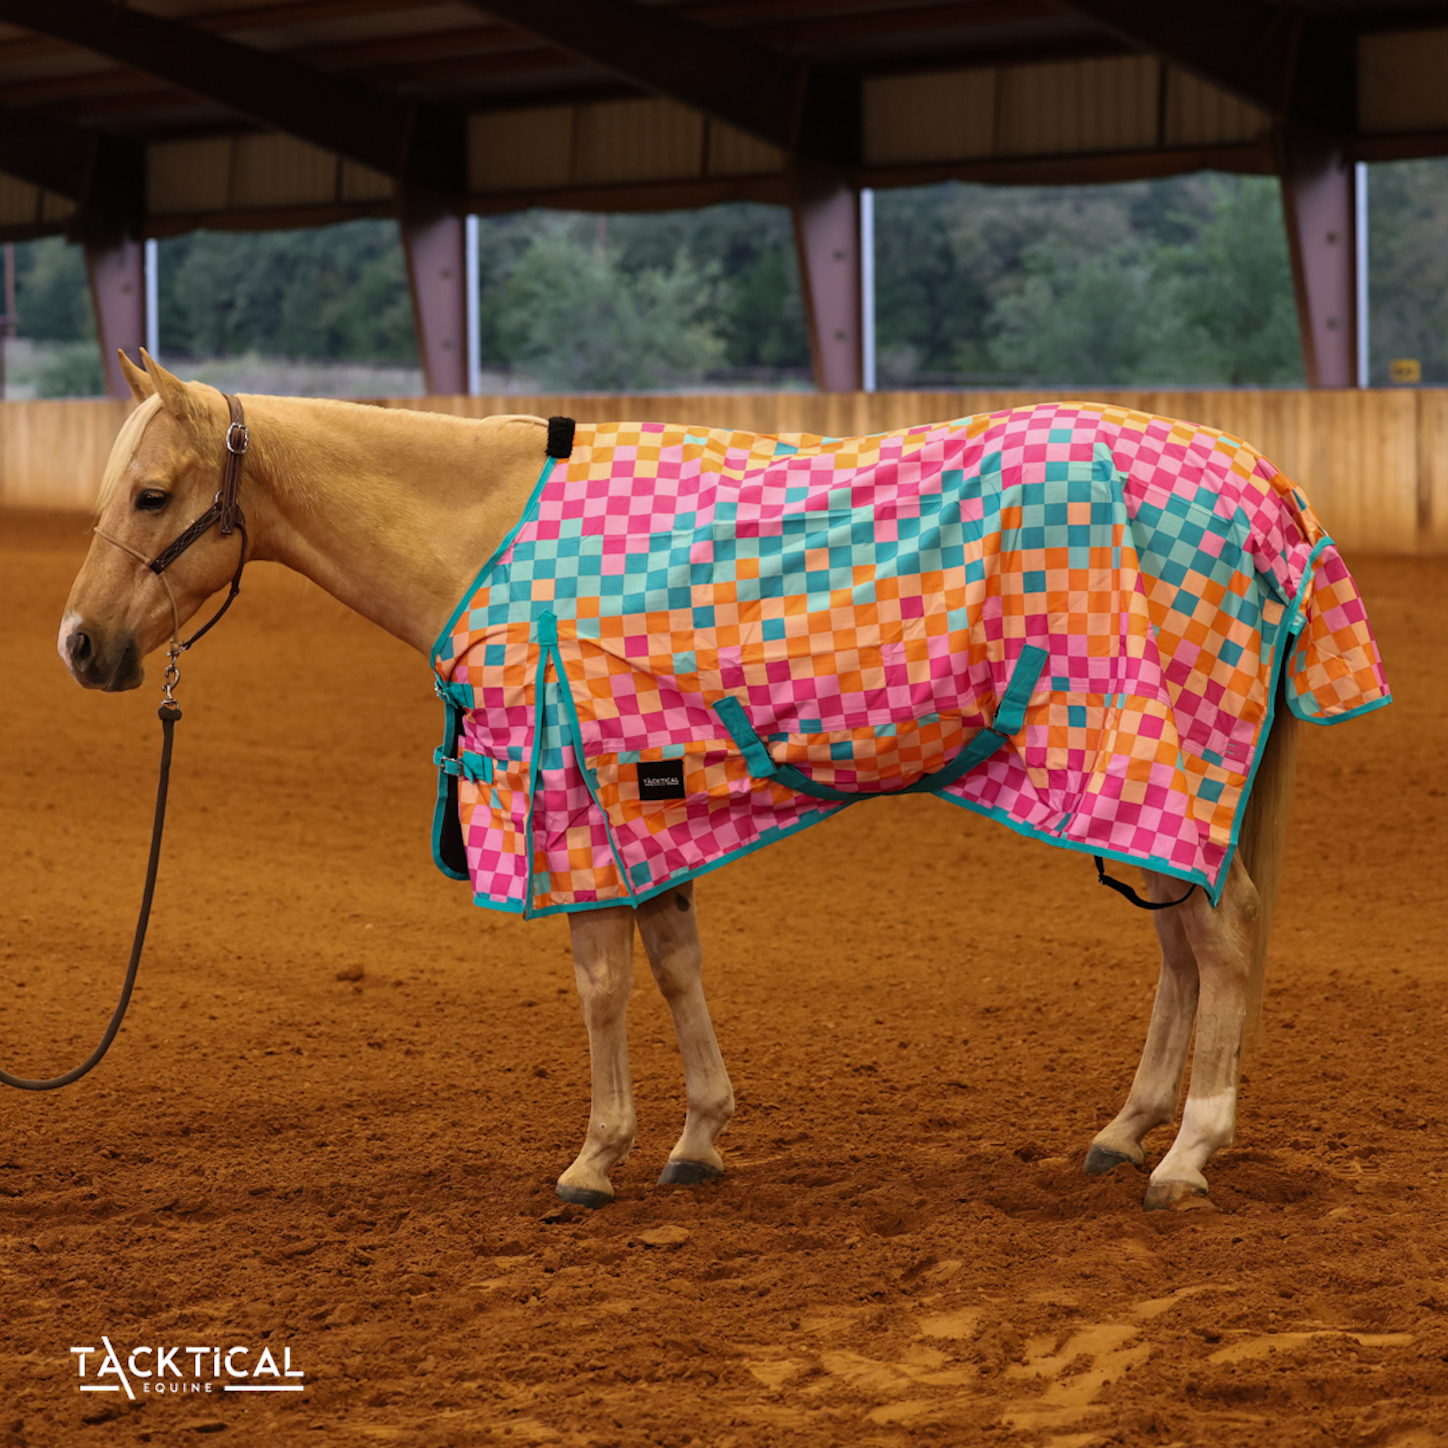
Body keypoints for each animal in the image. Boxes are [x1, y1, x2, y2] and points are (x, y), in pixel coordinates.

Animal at [59, 350, 1388, 1213]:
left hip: (1156, 767)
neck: (493, 535)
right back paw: (1125, 1130)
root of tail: (1259, 482)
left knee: (1220, 940)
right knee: (1180, 949)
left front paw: (596, 1157)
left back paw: (1186, 1152)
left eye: (154, 493)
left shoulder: (570, 805)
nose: (81, 645)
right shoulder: (648, 803)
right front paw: (696, 1139)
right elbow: (673, 961)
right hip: (1146, 797)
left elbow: (600, 981)